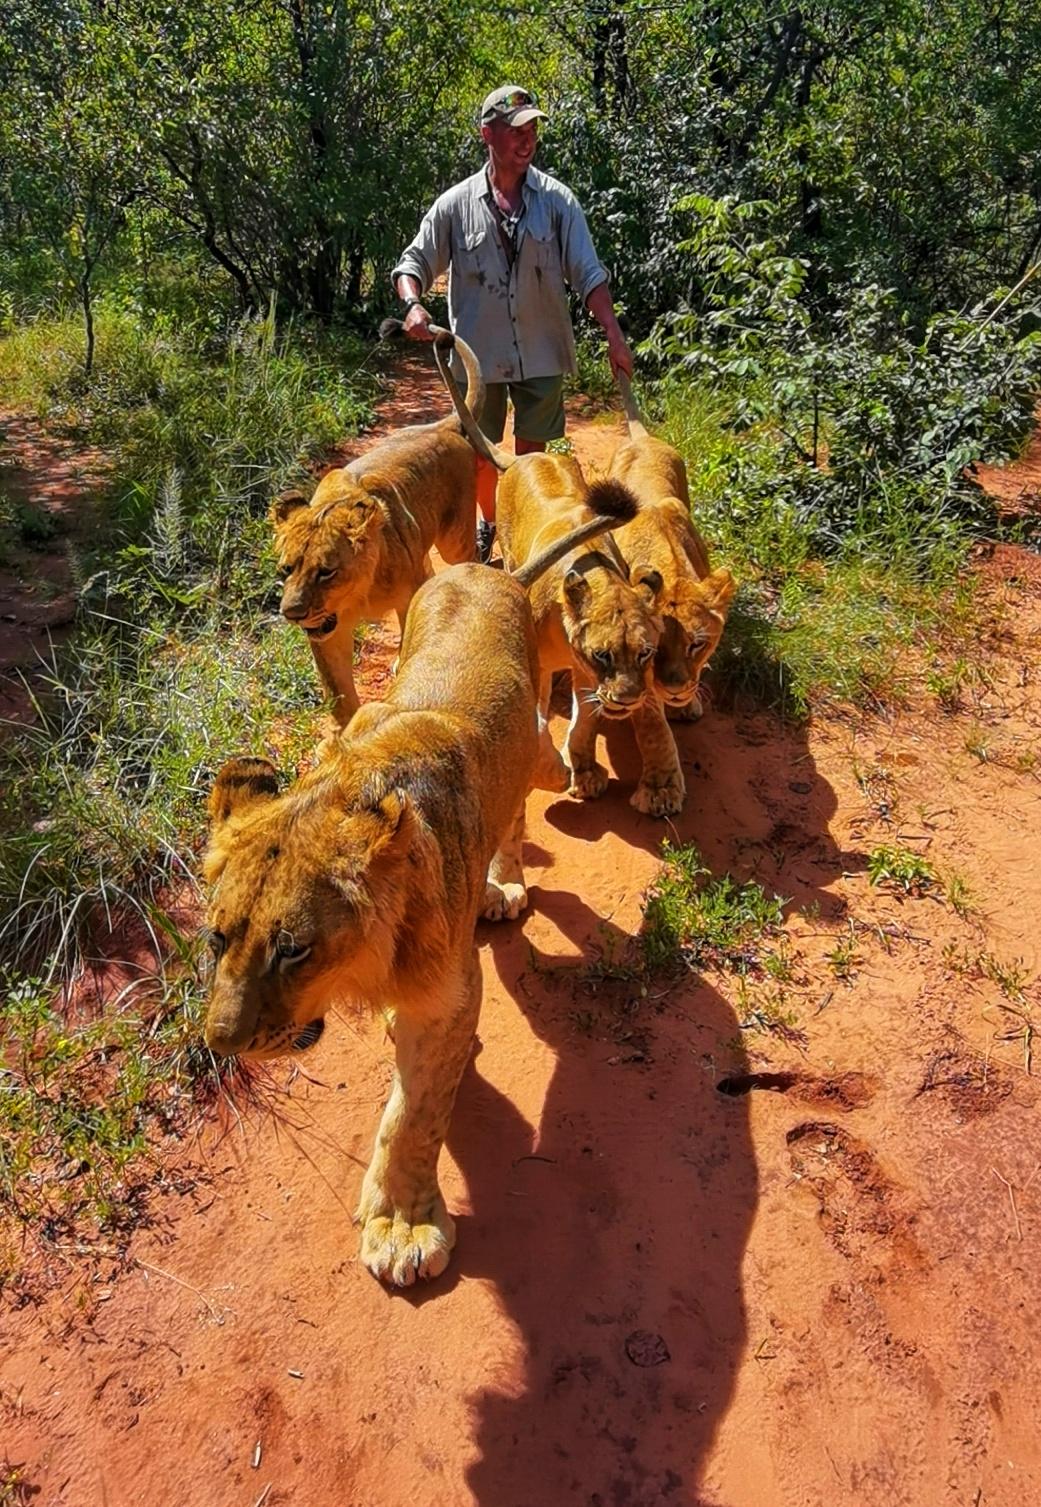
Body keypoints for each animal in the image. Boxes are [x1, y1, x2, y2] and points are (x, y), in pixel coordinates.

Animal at [198, 485, 629, 1283]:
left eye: (293, 949)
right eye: (216, 939)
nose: (221, 1041)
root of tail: (488, 571)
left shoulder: (448, 997)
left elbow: (415, 1115)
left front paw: (401, 1226)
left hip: (524, 739)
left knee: (527, 787)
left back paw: (510, 871)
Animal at [272, 324, 494, 723]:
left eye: (326, 571)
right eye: (286, 568)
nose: (292, 613)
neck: (359, 591)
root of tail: (442, 425)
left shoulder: (406, 596)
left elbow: (410, 635)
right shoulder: (327, 632)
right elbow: (339, 696)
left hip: (454, 541)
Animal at [605, 373, 738, 720]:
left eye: (697, 645)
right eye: (656, 649)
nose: (676, 690)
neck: (673, 566)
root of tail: (644, 439)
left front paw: (689, 704)